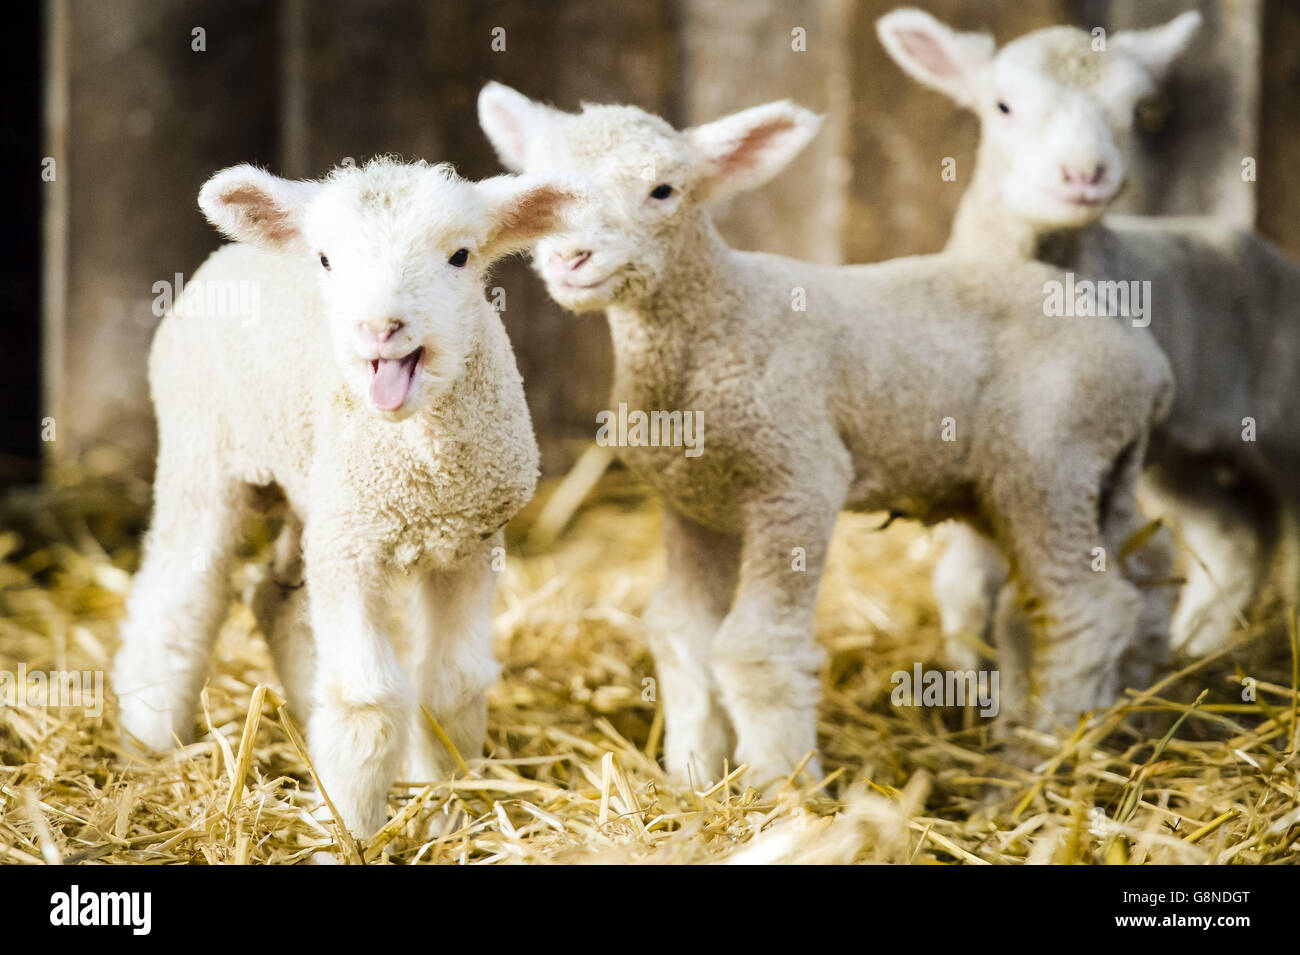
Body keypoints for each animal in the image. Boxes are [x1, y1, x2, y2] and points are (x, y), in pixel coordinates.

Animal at [112, 157, 583, 838]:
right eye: (327, 260)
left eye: (460, 256)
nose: (380, 328)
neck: (422, 475)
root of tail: (231, 251)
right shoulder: (353, 546)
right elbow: (366, 697)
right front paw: (352, 830)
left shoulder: (468, 543)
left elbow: (453, 684)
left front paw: (445, 806)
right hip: (205, 456)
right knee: (177, 600)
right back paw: (148, 739)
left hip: (313, 491)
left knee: (277, 601)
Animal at [477, 81, 1175, 786]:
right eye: (542, 195)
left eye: (663, 190)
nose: (571, 259)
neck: (721, 316)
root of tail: (1147, 361)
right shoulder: (691, 501)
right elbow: (683, 633)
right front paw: (695, 777)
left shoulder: (797, 478)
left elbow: (754, 646)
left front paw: (777, 786)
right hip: (1068, 473)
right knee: (1102, 587)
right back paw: (1095, 721)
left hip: (1050, 455)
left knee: (1087, 608)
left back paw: (1047, 757)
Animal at [878, 8, 1300, 661]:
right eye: (1002, 106)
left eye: (1132, 110)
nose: (1084, 173)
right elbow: (964, 580)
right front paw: (969, 668)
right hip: (1180, 450)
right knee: (1234, 529)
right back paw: (1195, 642)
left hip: (1284, 422)